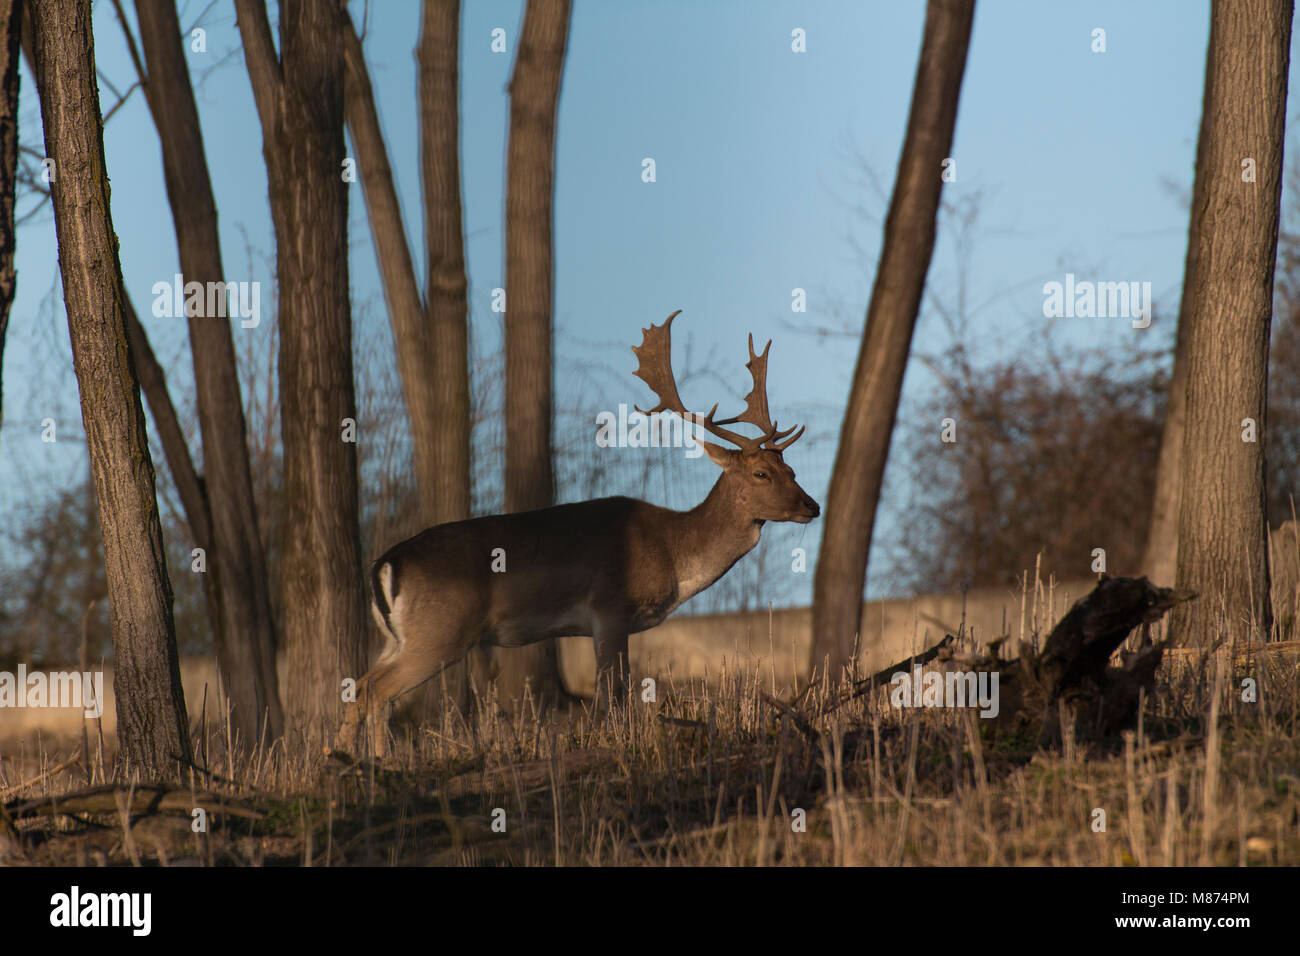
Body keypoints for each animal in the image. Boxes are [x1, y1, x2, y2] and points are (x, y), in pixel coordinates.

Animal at [335, 310, 820, 755]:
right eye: (760, 473)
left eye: (791, 470)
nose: (812, 506)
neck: (672, 553)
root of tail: (385, 563)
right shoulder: (609, 608)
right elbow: (614, 697)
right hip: (440, 629)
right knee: (378, 691)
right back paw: (379, 763)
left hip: (399, 636)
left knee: (358, 687)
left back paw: (345, 760)